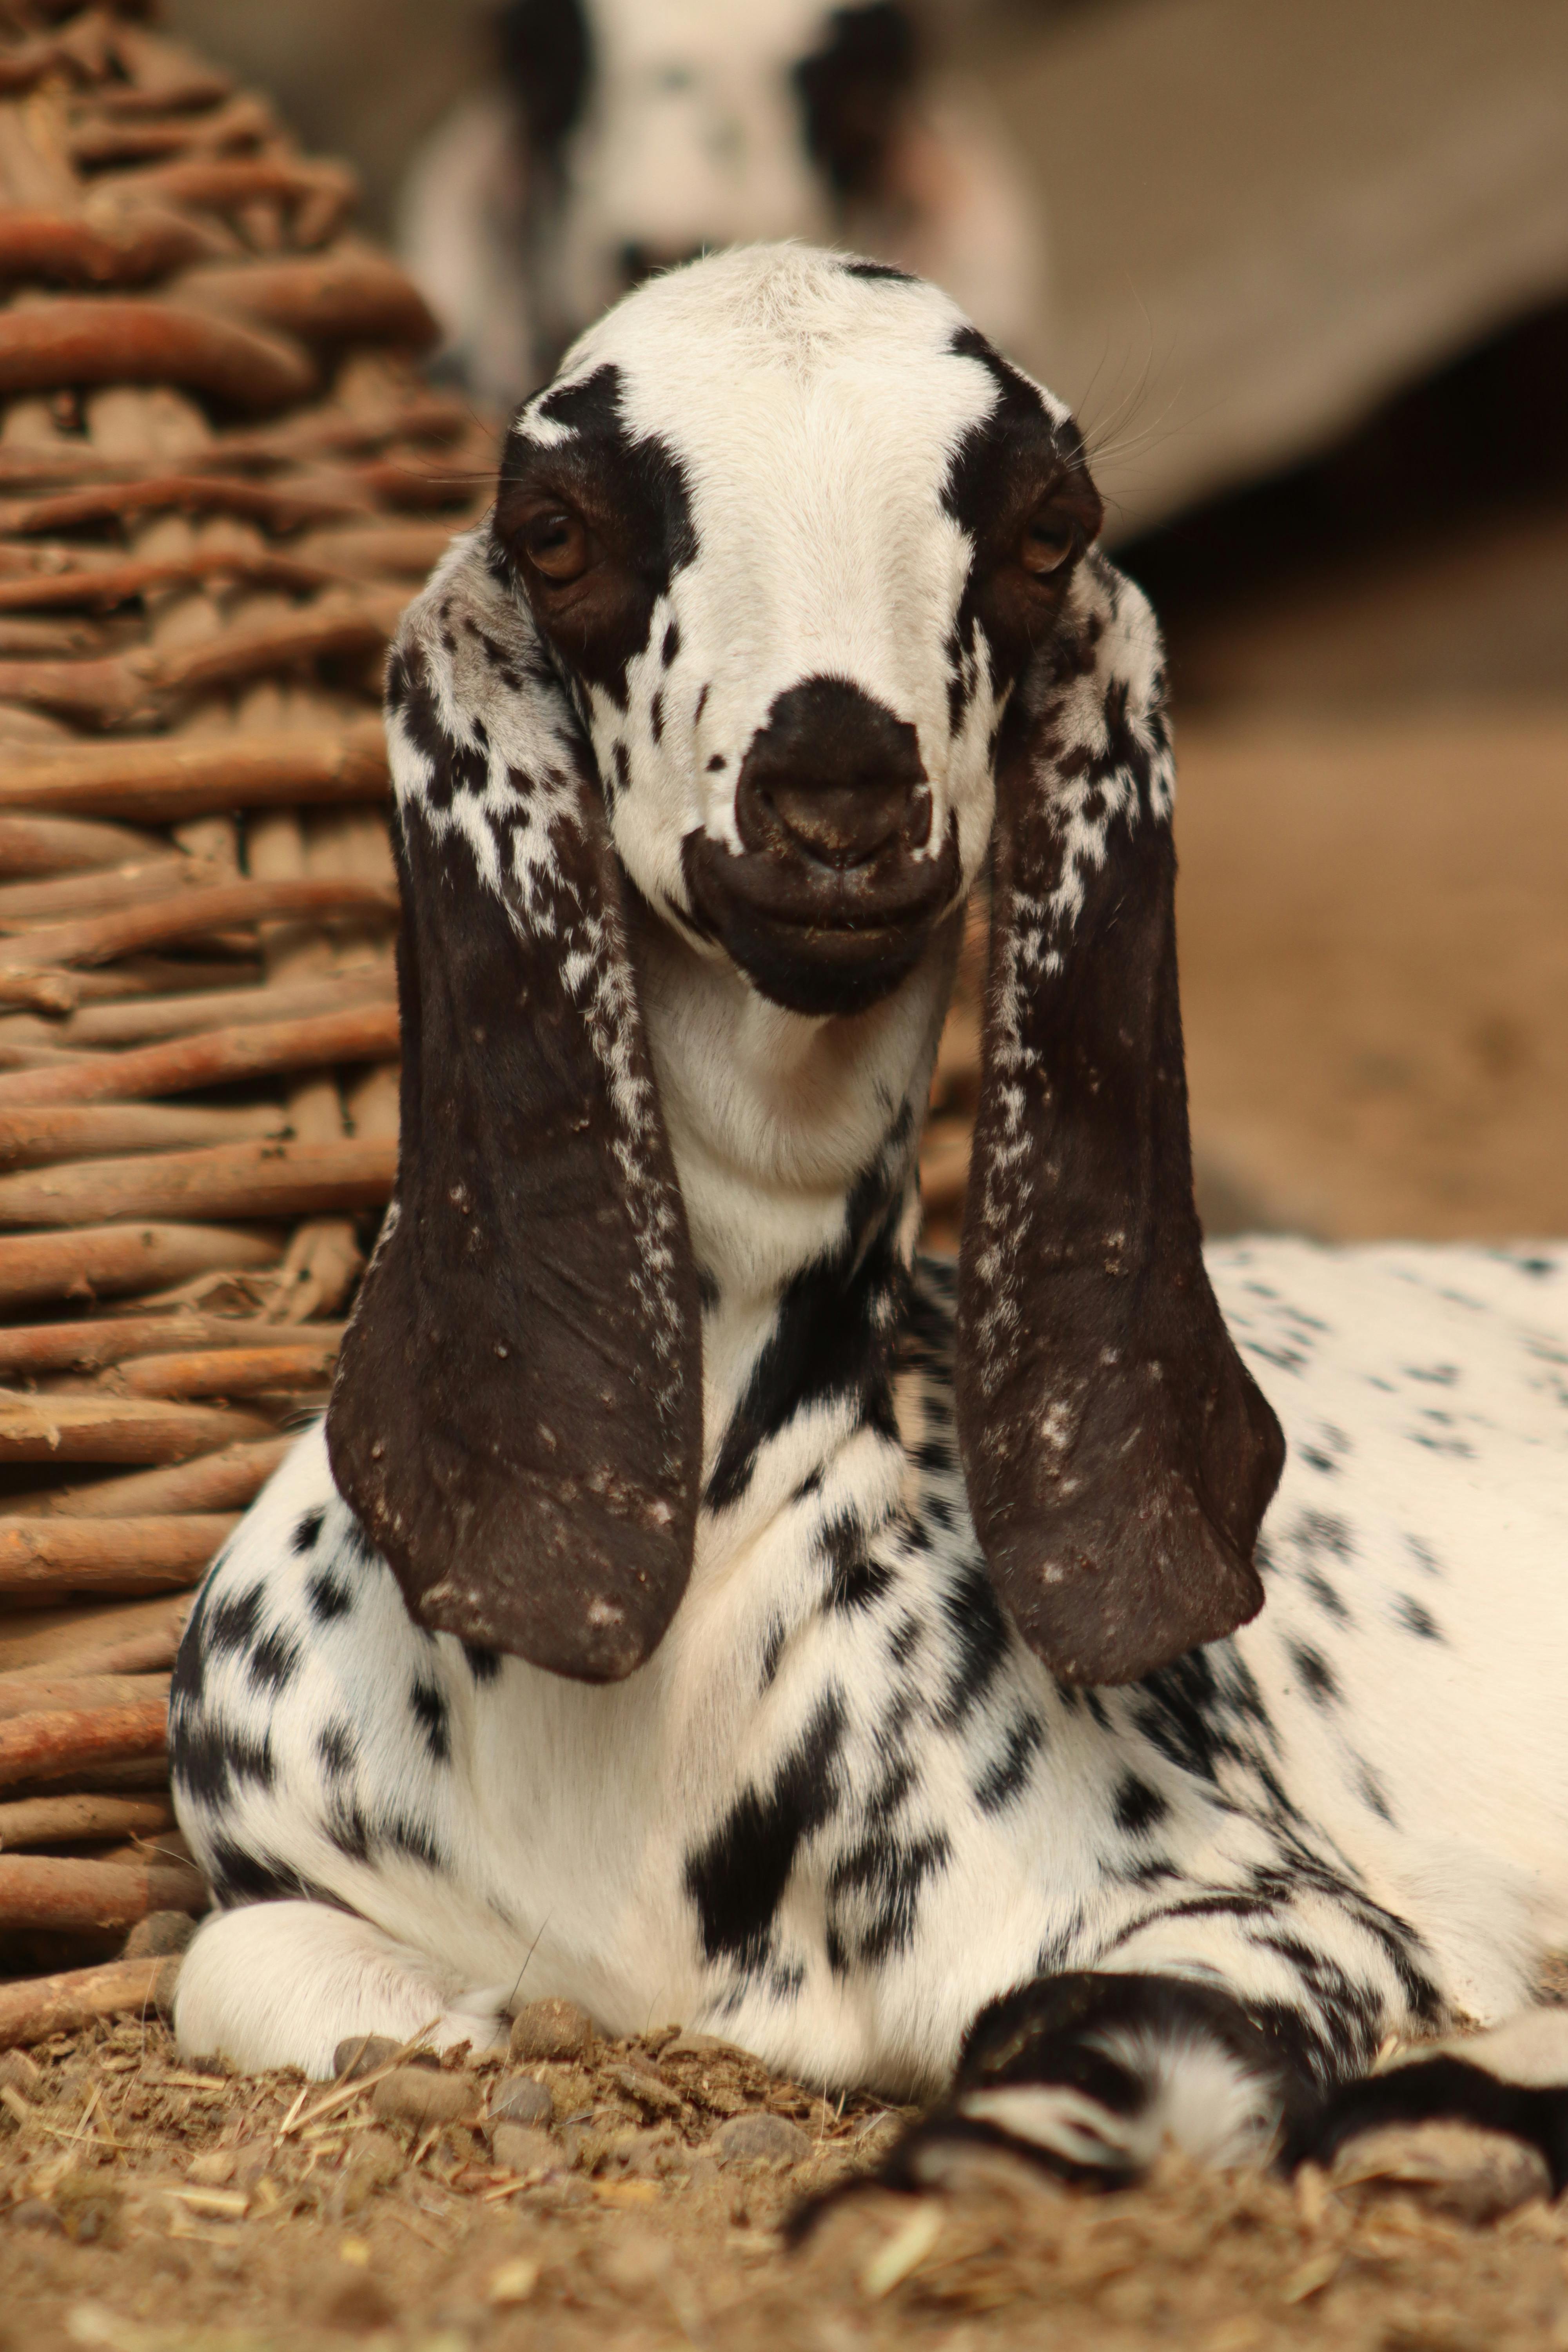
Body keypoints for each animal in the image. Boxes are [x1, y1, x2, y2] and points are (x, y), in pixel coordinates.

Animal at [170, 245, 1568, 2200]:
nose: (836, 788)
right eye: (556, 528)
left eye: (1048, 527)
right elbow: (251, 1969)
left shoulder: (1256, 1911)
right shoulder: (275, 1886)